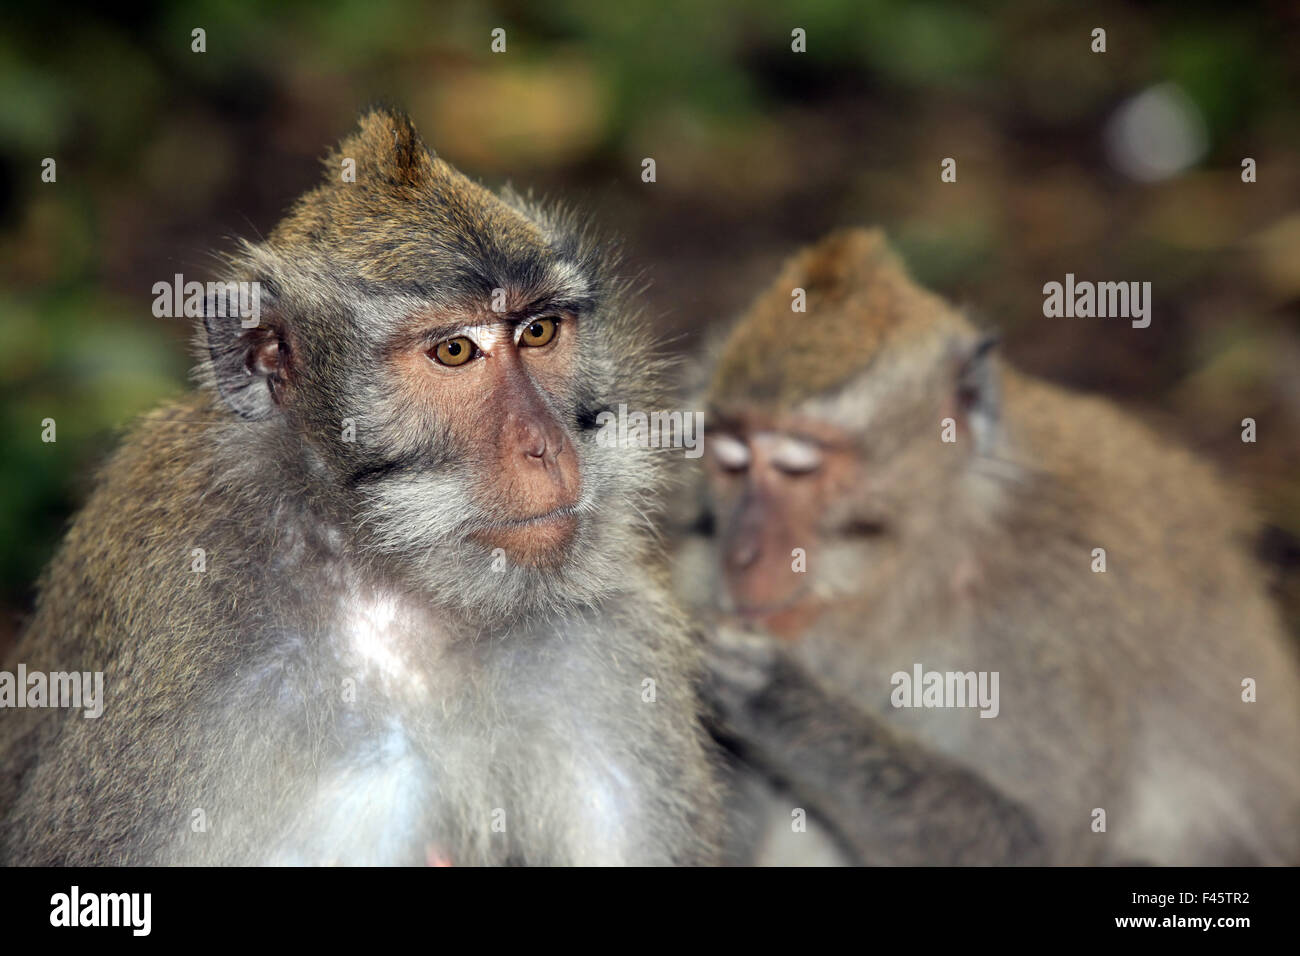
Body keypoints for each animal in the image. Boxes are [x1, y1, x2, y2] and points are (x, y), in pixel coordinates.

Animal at [0, 108, 721, 866]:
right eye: (455, 350)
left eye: (539, 330)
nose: (546, 447)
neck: (387, 580)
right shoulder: (187, 643)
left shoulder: (610, 638)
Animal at [679, 227, 1300, 865]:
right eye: (730, 460)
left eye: (796, 465)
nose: (740, 555)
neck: (932, 568)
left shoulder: (1050, 605)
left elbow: (1044, 842)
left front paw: (777, 697)